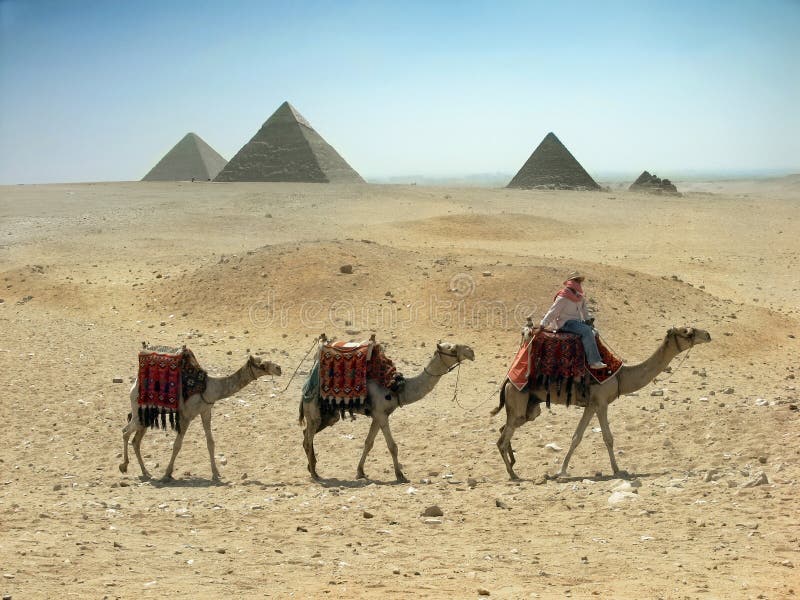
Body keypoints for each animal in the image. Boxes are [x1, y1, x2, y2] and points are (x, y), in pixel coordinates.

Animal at [119, 355, 281, 481]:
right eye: (262, 365)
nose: (279, 368)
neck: (211, 388)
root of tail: (134, 385)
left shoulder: (206, 411)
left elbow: (210, 442)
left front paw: (216, 474)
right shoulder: (186, 416)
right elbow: (177, 445)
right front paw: (167, 474)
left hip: (147, 416)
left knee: (135, 441)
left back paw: (145, 472)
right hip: (139, 412)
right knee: (125, 431)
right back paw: (124, 466)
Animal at [299, 342, 475, 482]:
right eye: (452, 349)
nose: (471, 352)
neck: (396, 388)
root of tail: (307, 385)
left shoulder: (378, 416)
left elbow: (368, 443)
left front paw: (360, 472)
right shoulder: (382, 415)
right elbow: (392, 446)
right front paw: (400, 475)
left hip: (328, 415)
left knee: (306, 433)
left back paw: (312, 467)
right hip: (314, 409)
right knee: (308, 438)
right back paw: (315, 474)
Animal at [491, 327, 711, 480]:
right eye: (687, 332)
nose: (707, 334)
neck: (620, 376)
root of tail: (507, 382)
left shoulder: (591, 405)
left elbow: (576, 437)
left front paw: (562, 470)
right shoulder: (602, 402)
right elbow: (608, 438)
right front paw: (618, 470)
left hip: (530, 408)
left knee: (505, 429)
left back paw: (513, 465)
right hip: (519, 400)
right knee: (502, 439)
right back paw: (513, 474)